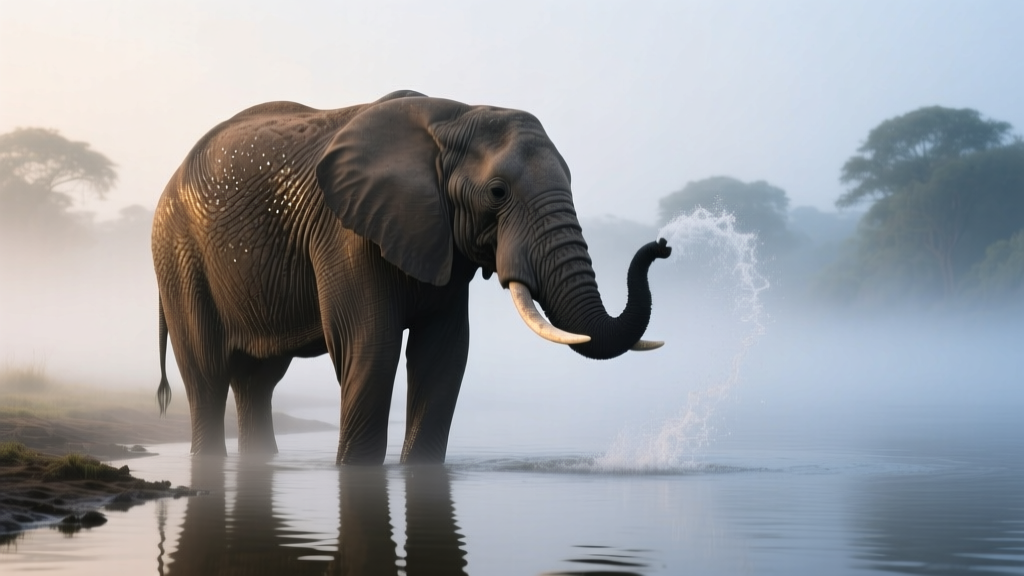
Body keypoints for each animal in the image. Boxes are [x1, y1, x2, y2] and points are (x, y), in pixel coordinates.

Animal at [152, 90, 671, 464]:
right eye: (497, 193)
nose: (662, 246)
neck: (453, 116)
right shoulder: (347, 235)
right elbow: (371, 349)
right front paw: (356, 474)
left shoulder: (443, 246)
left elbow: (444, 356)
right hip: (179, 256)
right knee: (207, 375)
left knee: (257, 381)